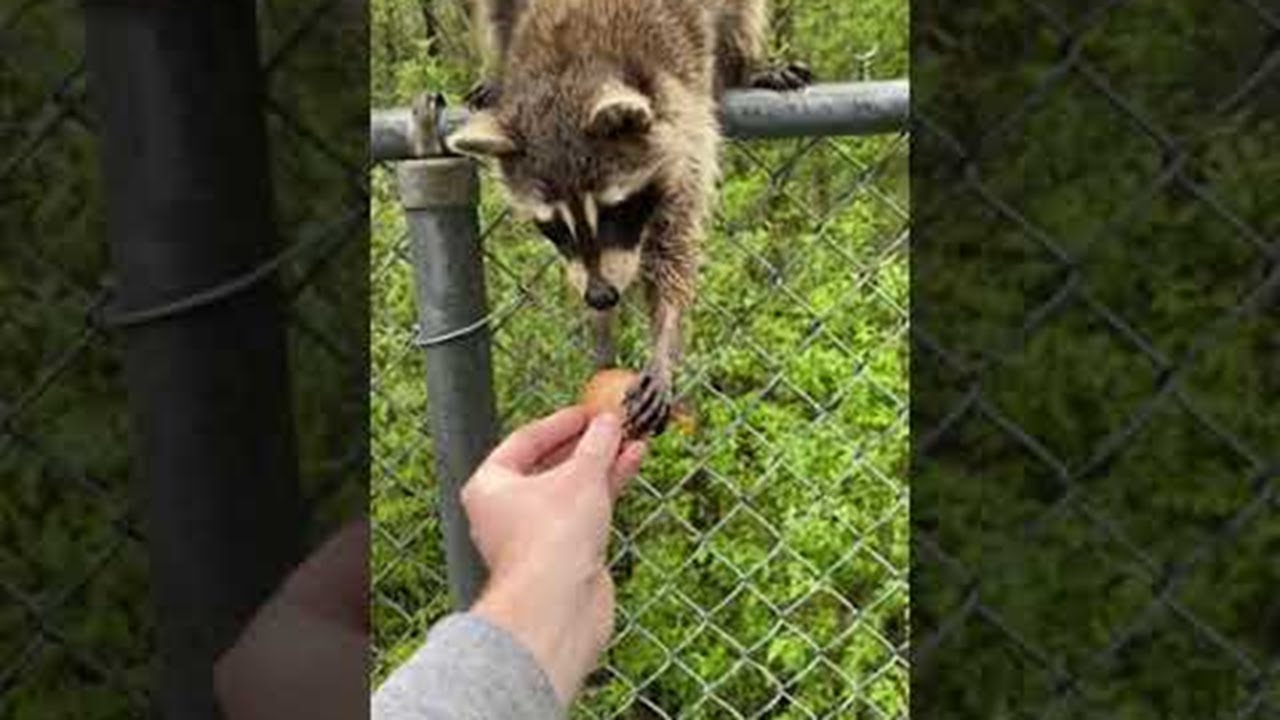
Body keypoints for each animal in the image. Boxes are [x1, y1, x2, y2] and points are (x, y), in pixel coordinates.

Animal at [448, 0, 811, 437]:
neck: (569, 70)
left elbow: (675, 247)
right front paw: (601, 328)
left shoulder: (683, 120)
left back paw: (747, 66)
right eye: (553, 227)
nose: (600, 296)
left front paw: (665, 336)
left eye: (614, 211)